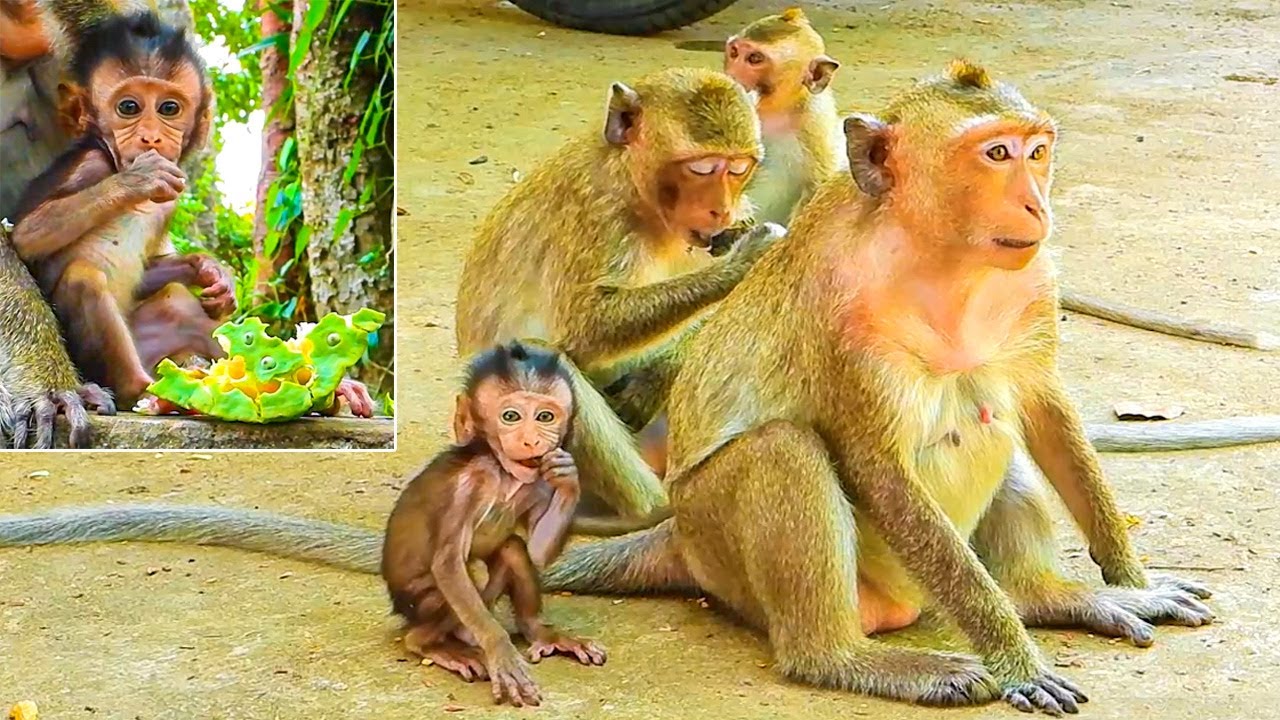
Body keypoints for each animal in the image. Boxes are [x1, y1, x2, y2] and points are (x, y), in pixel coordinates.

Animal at [383, 342, 606, 707]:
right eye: (510, 417)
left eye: (545, 417)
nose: (531, 441)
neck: (504, 475)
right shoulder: (467, 485)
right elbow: (448, 565)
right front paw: (501, 652)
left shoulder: (540, 483)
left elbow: (537, 550)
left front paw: (568, 478)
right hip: (418, 603)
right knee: (452, 587)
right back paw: (433, 644)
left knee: (513, 548)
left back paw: (539, 631)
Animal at [454, 67, 787, 519]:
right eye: (702, 169)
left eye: (738, 169)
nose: (721, 209)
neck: (639, 194)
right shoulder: (596, 214)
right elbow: (585, 325)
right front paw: (741, 262)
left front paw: (656, 378)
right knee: (543, 360)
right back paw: (653, 509)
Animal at [533, 60, 1276, 715]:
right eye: (996, 153)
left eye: (1037, 152)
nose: (1037, 205)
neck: (942, 260)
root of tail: (677, 537)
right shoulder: (841, 311)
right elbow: (878, 466)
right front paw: (1017, 660)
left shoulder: (1035, 282)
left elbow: (1041, 406)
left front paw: (1130, 581)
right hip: (722, 543)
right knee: (783, 450)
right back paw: (846, 657)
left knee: (993, 414)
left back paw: (1049, 596)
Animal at [724, 7, 844, 227]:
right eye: (734, 52)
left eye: (755, 59)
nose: (730, 77)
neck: (775, 110)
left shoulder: (813, 126)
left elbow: (816, 187)